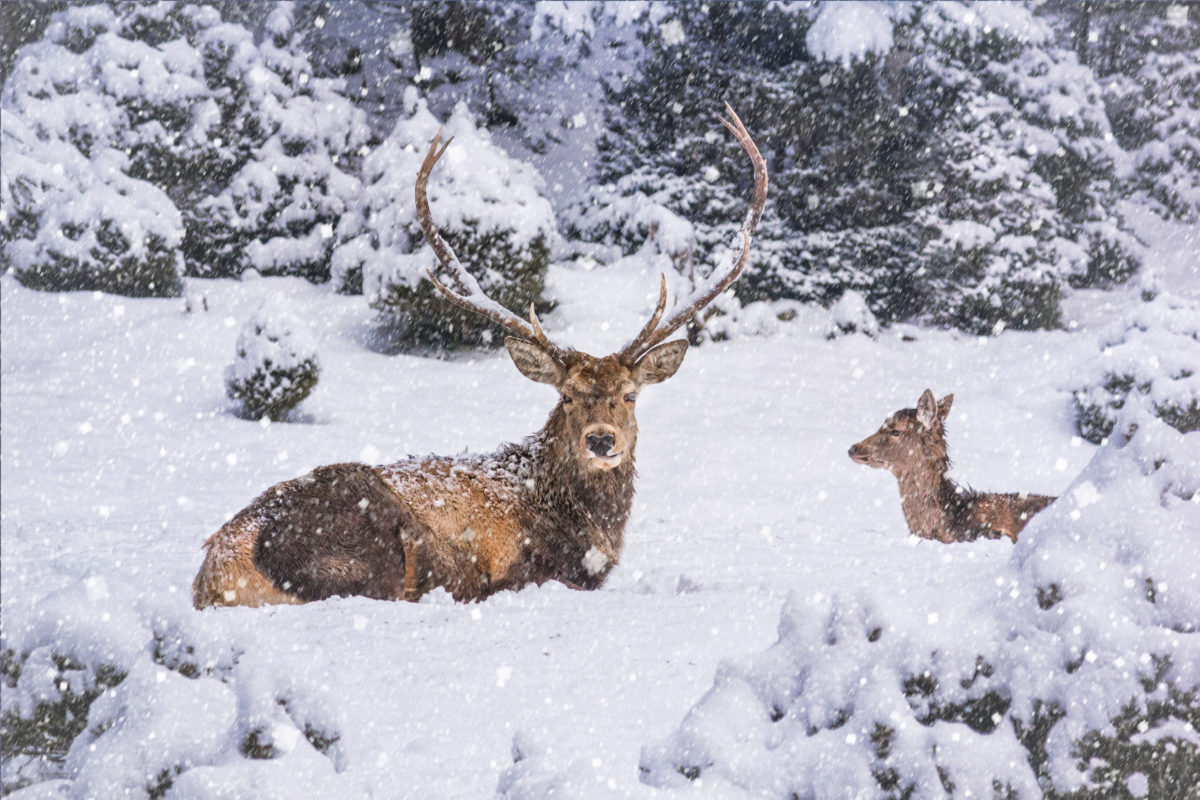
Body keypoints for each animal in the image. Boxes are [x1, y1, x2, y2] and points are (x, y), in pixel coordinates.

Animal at [192, 104, 767, 609]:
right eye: (567, 395)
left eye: (630, 395)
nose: (601, 440)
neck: (583, 529)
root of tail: (216, 574)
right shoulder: (522, 569)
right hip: (366, 534)